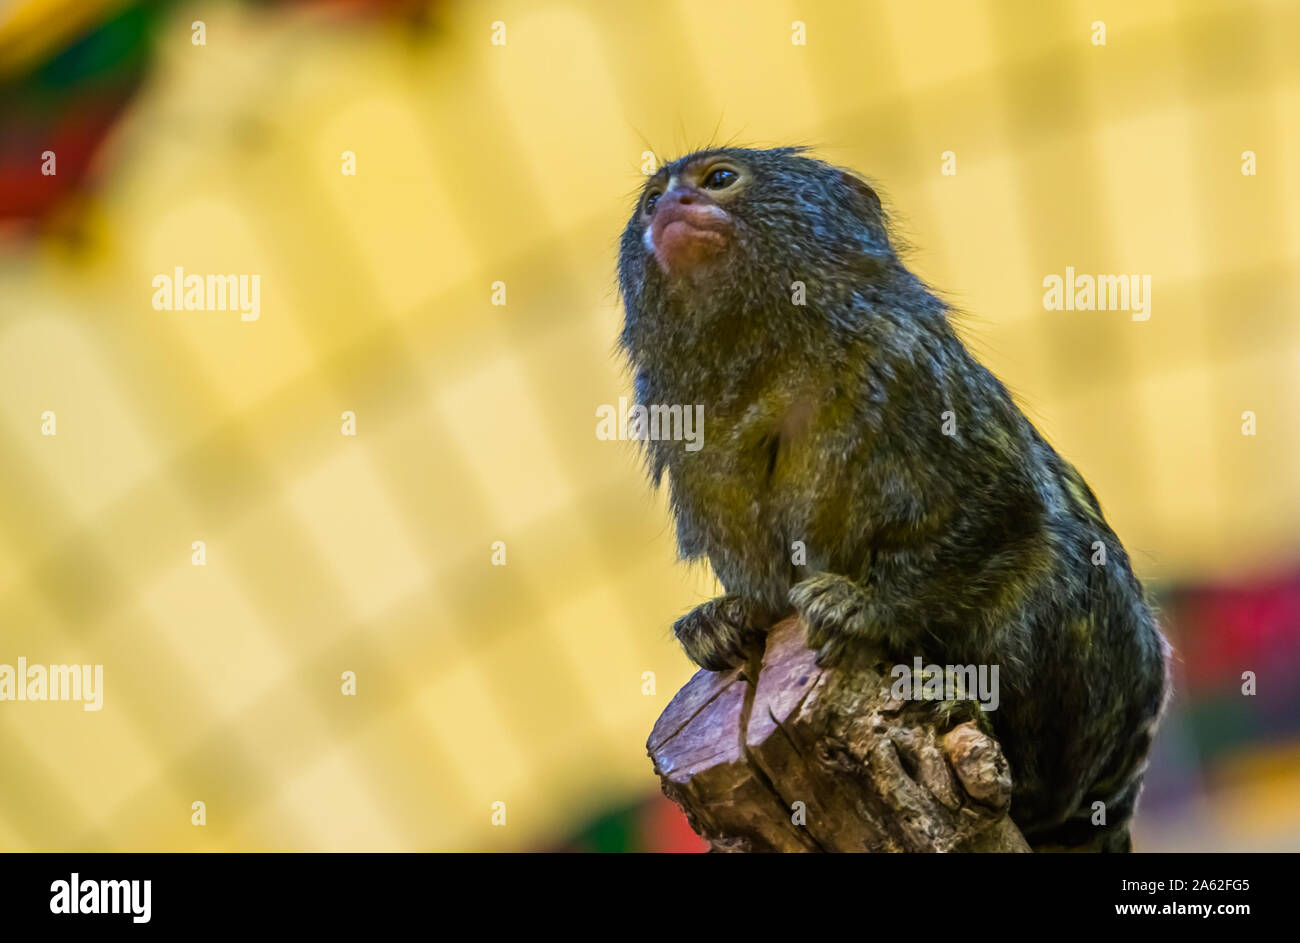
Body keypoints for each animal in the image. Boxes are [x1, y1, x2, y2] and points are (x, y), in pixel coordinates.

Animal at [617, 146, 1170, 852]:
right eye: (651, 199)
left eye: (718, 180)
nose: (670, 205)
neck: (767, 358)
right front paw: (724, 617)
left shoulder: (908, 360)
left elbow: (1003, 505)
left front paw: (865, 607)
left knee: (1059, 563)